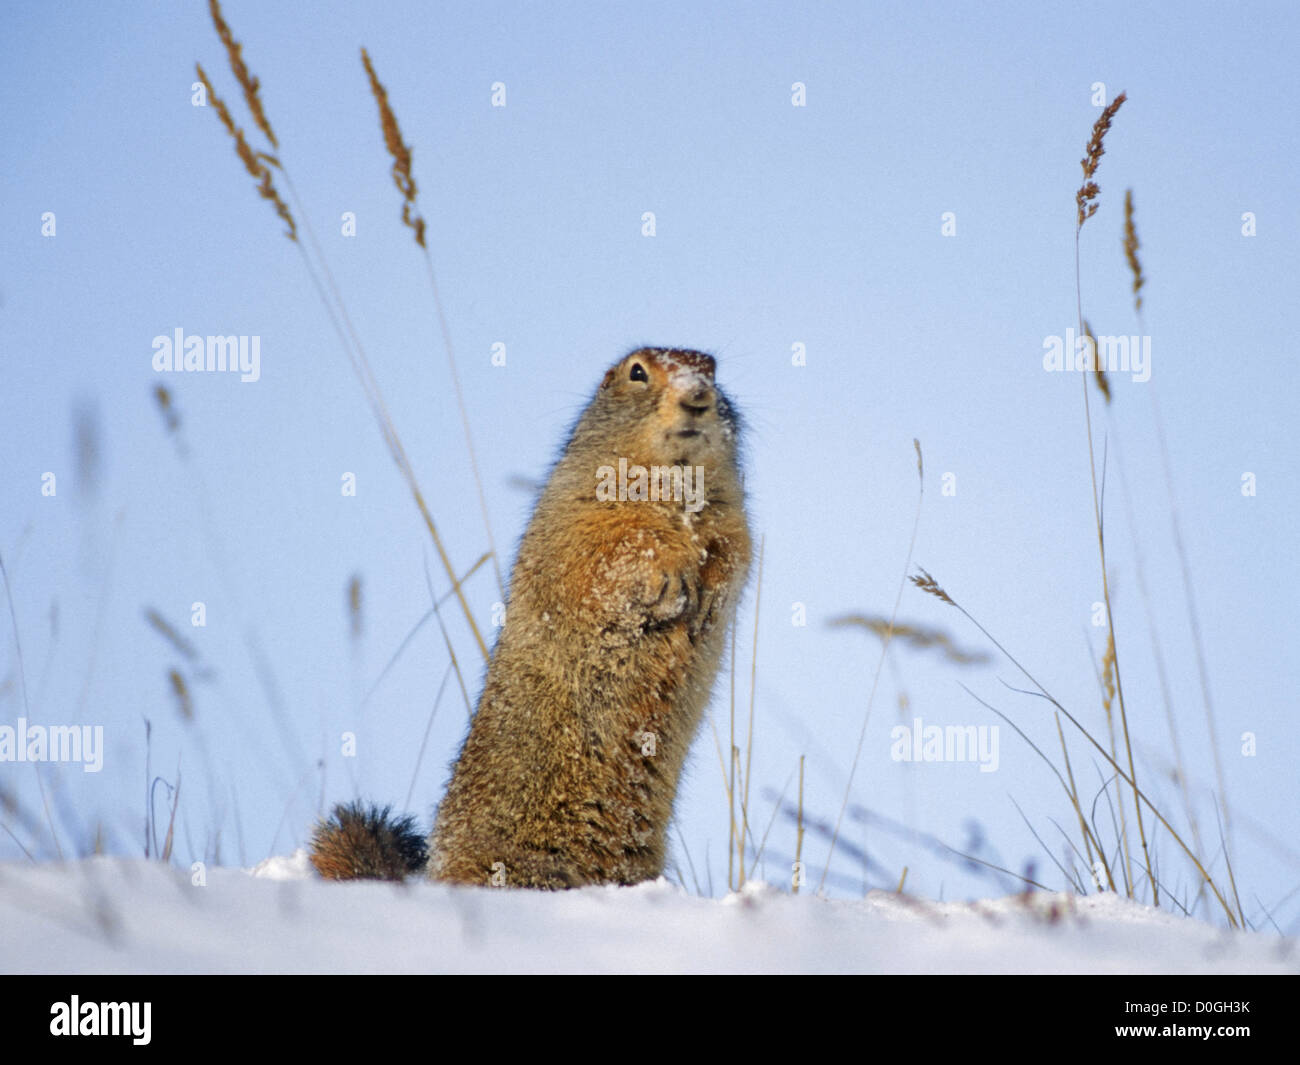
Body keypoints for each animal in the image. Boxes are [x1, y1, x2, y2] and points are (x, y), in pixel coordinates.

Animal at [310, 347, 752, 888]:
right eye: (637, 371)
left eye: (713, 370)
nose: (698, 395)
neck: (677, 485)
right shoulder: (582, 508)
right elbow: (610, 547)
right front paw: (668, 573)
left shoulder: (730, 511)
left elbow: (738, 547)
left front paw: (712, 593)